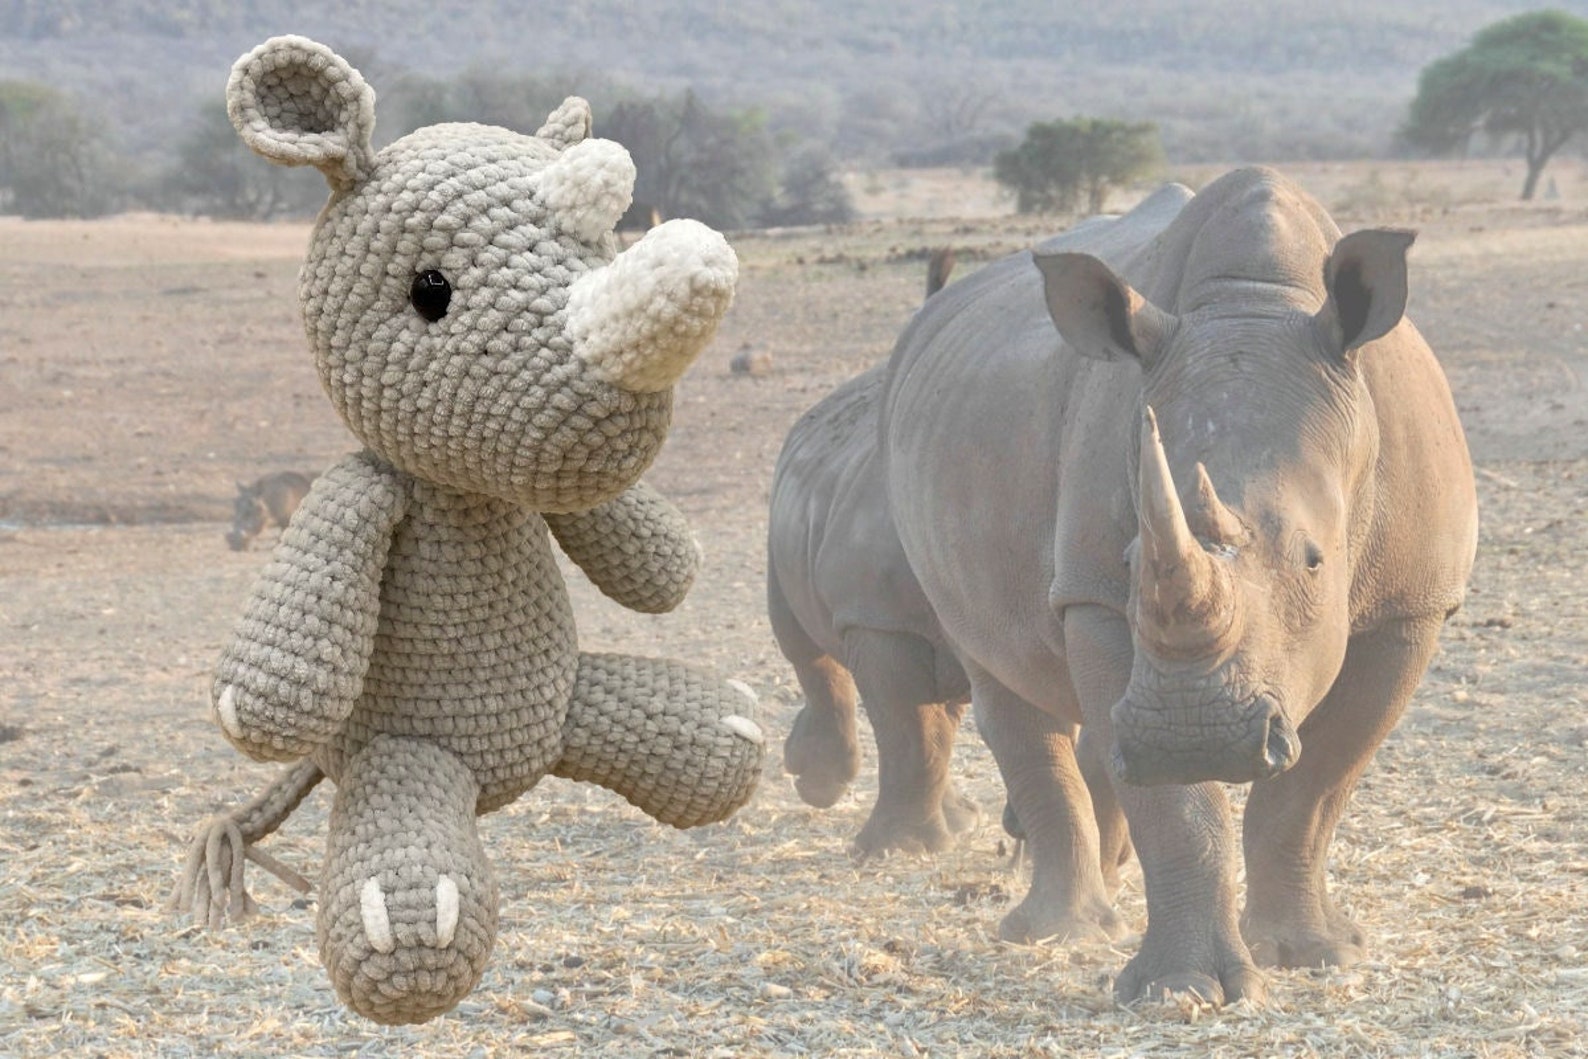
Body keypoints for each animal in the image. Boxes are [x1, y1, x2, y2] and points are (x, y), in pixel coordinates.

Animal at [879, 168, 1478, 1004]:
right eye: (1134, 562)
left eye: (1315, 562)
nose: (1192, 735)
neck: (1256, 300)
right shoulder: (1095, 592)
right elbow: (1178, 806)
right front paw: (1180, 987)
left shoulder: (1412, 604)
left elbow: (1314, 787)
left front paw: (1313, 953)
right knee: (1000, 673)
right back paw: (1058, 930)